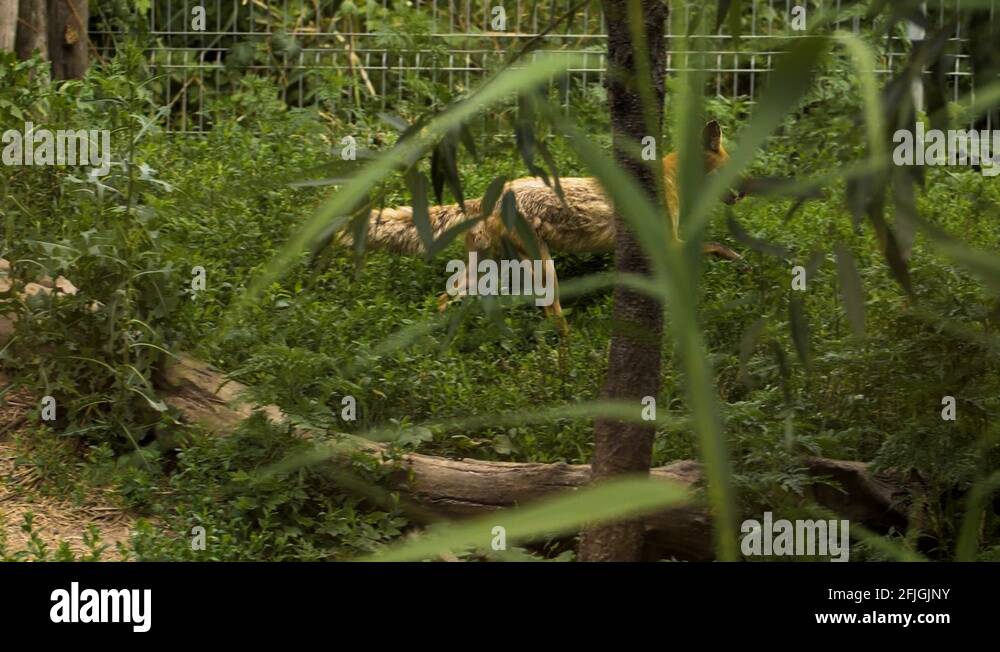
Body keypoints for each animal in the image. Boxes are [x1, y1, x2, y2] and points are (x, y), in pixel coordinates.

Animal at [341, 120, 743, 326]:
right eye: (728, 169)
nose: (741, 193)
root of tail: (488, 198)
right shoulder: (669, 241)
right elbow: (713, 246)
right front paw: (735, 257)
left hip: (483, 271)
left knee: (444, 297)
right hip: (545, 270)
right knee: (553, 316)